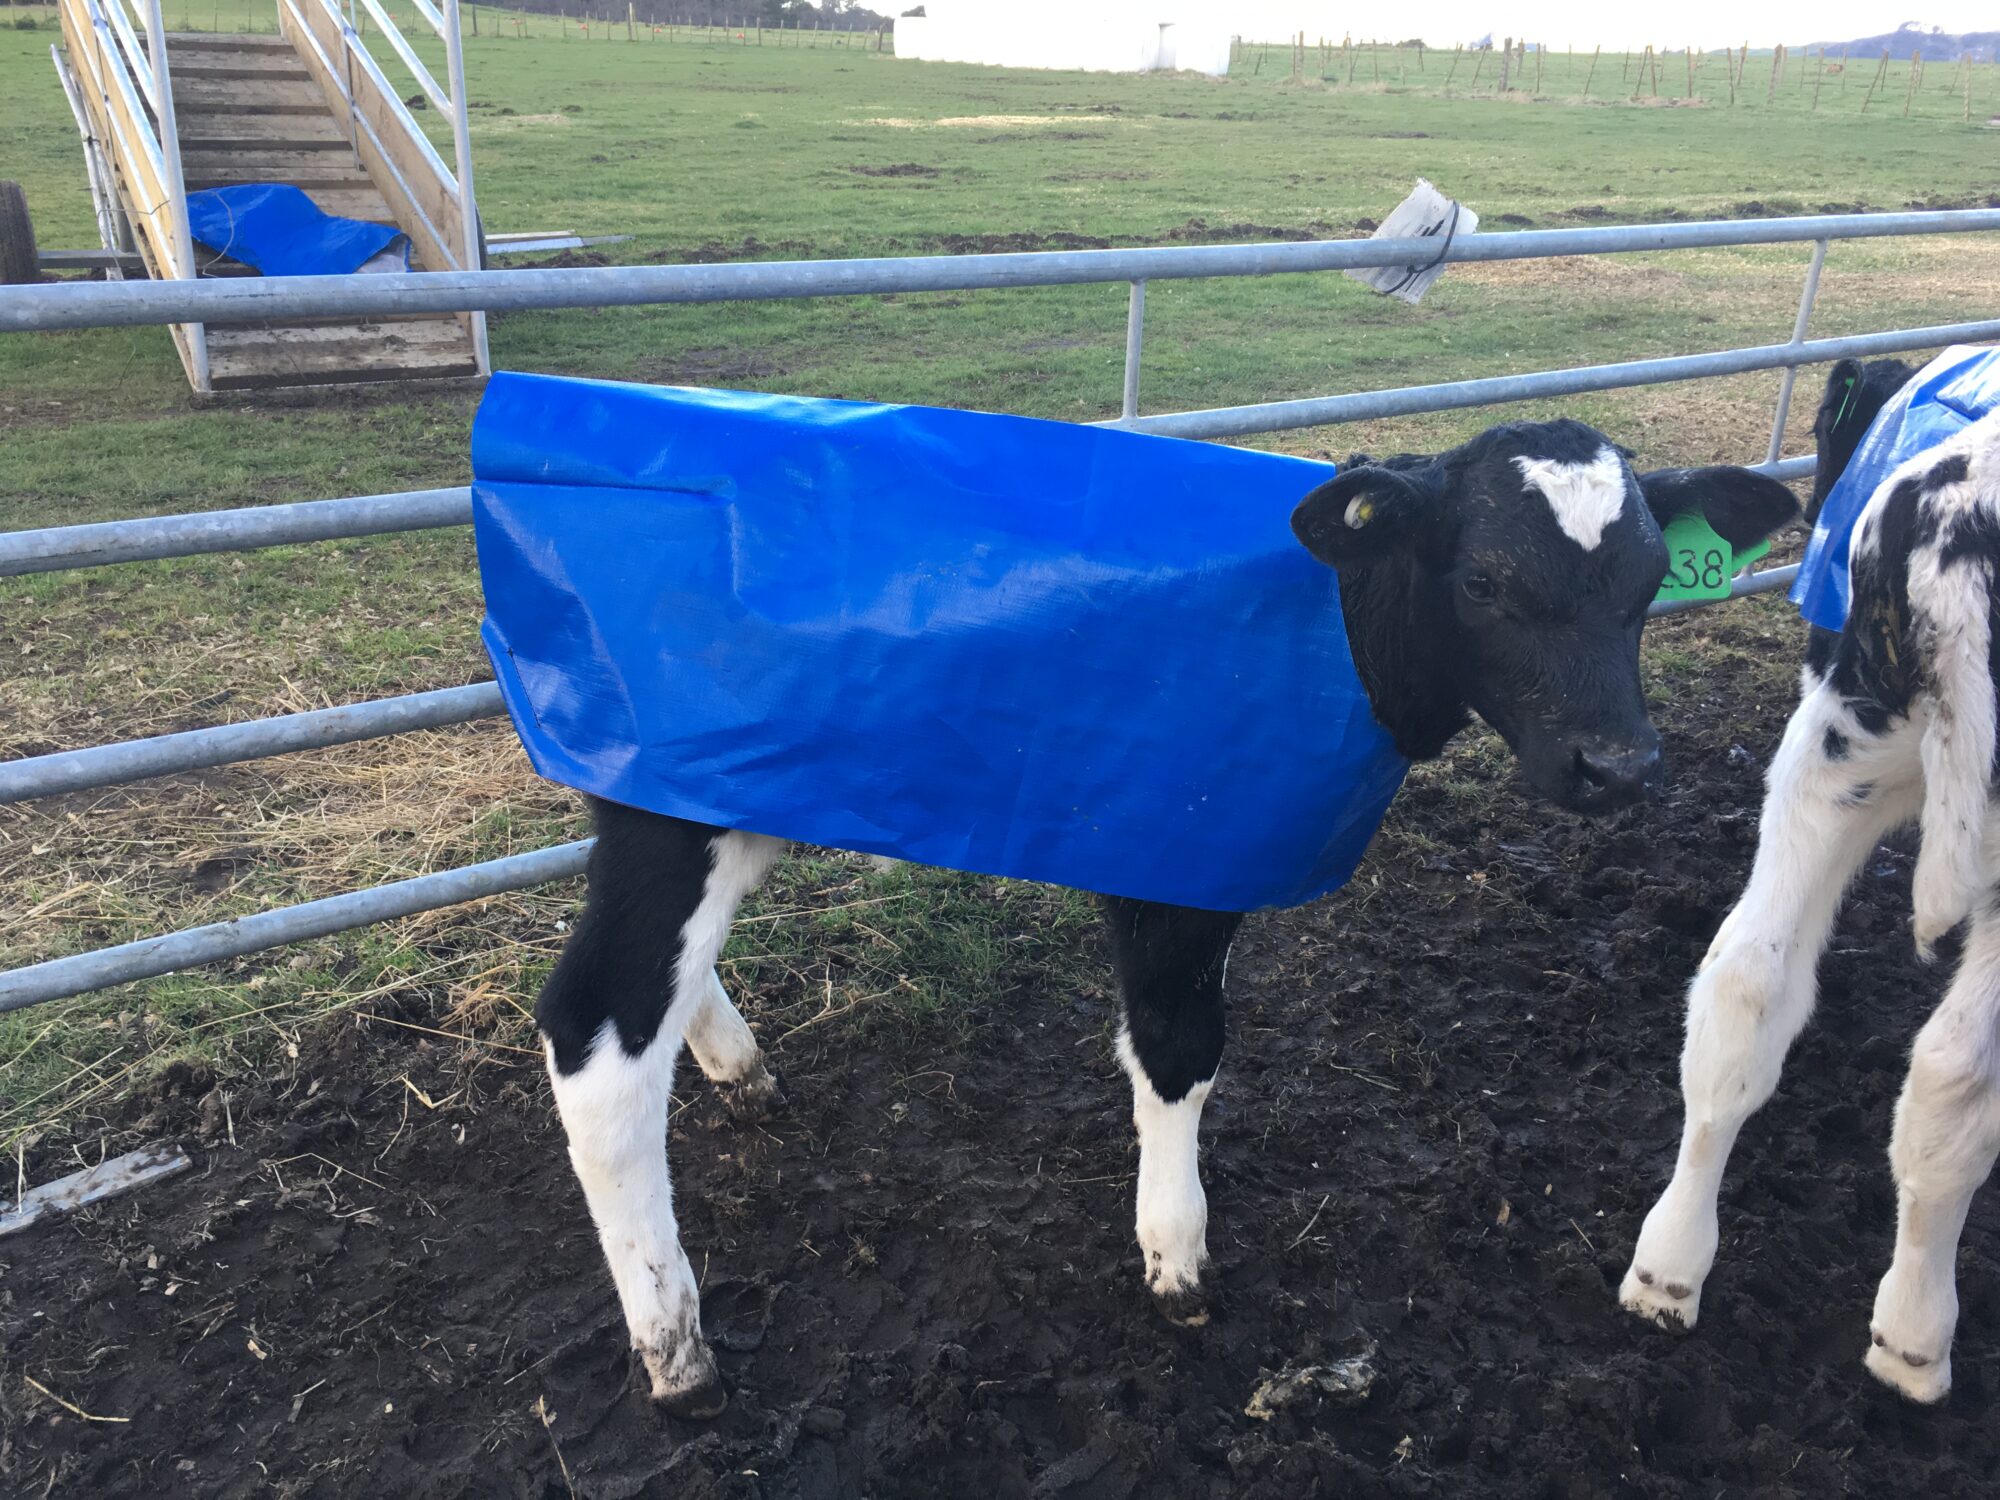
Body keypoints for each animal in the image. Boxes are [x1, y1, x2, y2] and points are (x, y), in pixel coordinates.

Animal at [534, 417, 1799, 1417]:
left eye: (1647, 586)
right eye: (1482, 581)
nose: (1618, 767)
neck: (1336, 623)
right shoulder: (1172, 866)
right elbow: (1178, 1050)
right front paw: (1176, 1253)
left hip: (711, 797)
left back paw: (736, 1067)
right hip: (664, 816)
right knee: (595, 1030)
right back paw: (672, 1344)